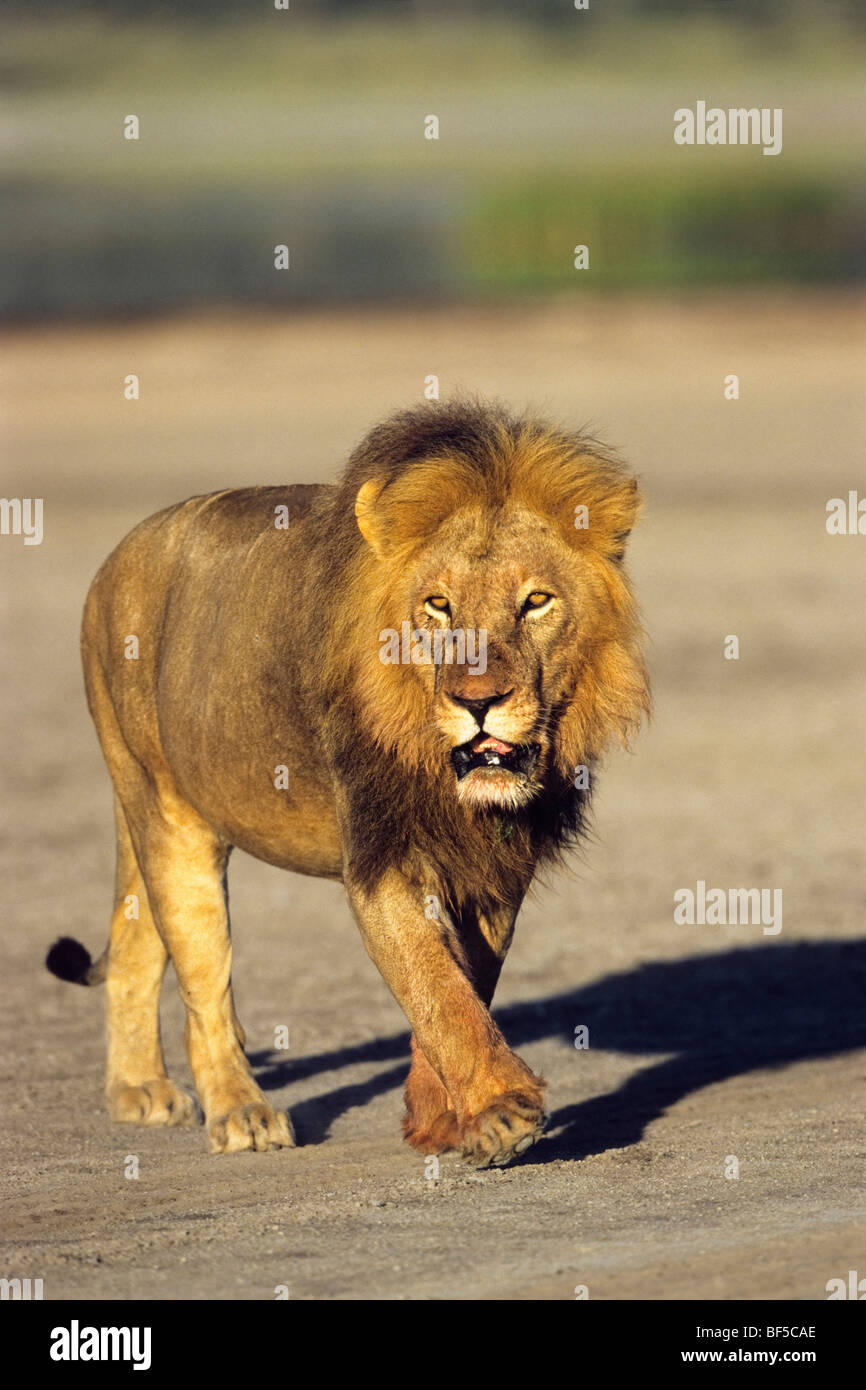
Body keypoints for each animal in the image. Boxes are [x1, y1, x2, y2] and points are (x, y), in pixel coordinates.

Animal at [47, 398, 648, 1168]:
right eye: (438, 606)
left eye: (536, 601)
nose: (478, 701)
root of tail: (121, 551)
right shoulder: (380, 856)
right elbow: (433, 983)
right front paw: (500, 1112)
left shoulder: (494, 871)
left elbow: (462, 989)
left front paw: (438, 1120)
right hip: (170, 817)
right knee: (203, 985)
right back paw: (239, 1112)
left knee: (133, 938)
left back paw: (137, 1091)